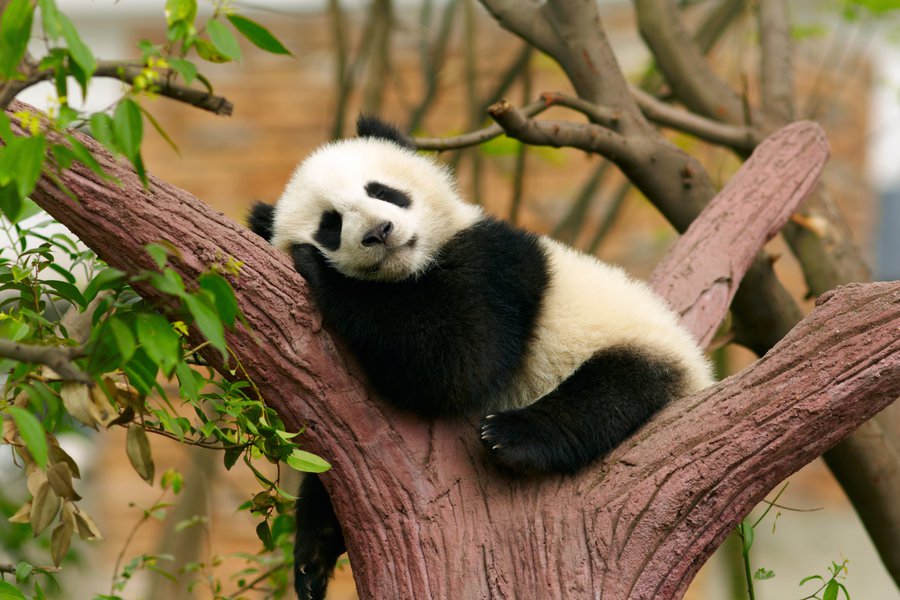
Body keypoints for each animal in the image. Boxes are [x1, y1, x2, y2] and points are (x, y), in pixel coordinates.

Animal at [248, 116, 713, 600]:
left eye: (382, 191)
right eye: (331, 225)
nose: (379, 232)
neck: (409, 271)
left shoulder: (492, 266)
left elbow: (460, 362)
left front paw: (319, 270)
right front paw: (313, 552)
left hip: (638, 345)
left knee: (611, 392)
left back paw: (512, 436)